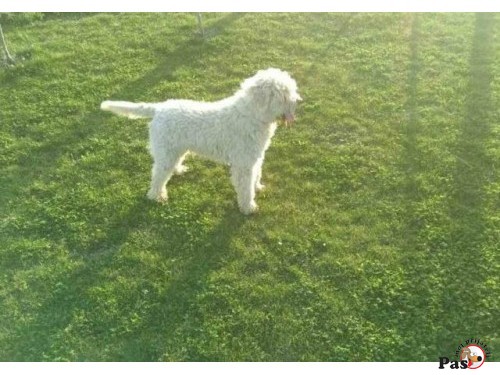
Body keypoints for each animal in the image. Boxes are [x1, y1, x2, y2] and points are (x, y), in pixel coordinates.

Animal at [99, 67, 298, 214]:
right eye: (284, 94)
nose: (299, 101)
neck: (252, 114)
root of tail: (159, 108)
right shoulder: (243, 164)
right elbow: (245, 187)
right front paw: (248, 207)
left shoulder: (254, 159)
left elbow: (256, 176)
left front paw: (258, 187)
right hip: (166, 152)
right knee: (157, 176)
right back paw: (157, 196)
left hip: (175, 149)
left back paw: (178, 170)